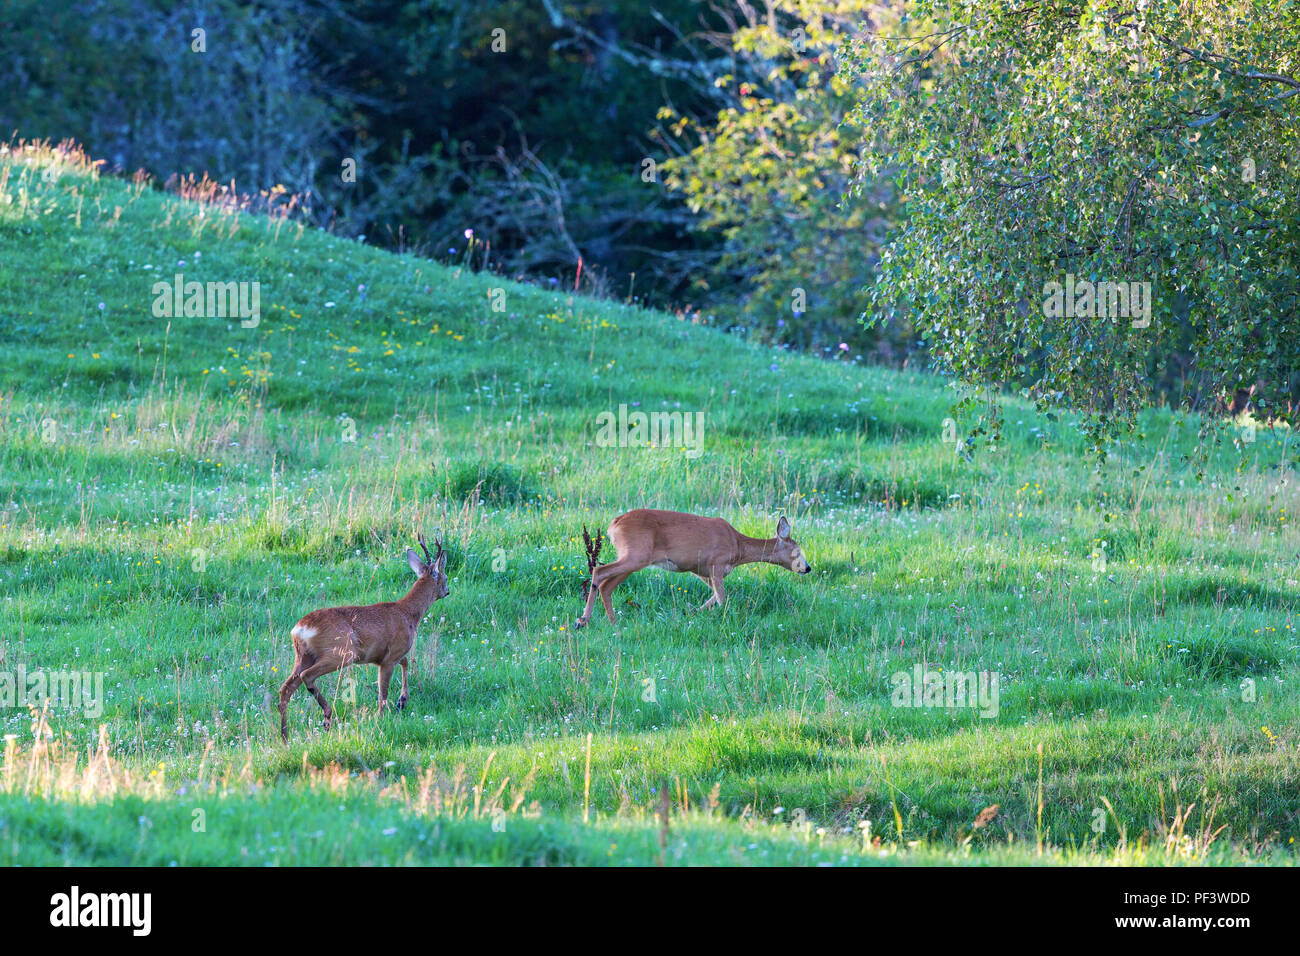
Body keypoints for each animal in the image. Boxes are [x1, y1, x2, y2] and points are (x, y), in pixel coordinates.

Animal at [278, 532, 449, 741]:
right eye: (445, 576)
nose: (447, 590)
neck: (408, 613)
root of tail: (300, 628)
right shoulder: (390, 656)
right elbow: (383, 693)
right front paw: (382, 717)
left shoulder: (386, 655)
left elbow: (406, 661)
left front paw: (402, 701)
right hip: (341, 652)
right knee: (306, 676)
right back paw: (327, 716)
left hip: (303, 655)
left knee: (285, 689)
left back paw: (285, 737)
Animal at [575, 510, 811, 628]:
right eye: (797, 550)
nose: (807, 568)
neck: (737, 546)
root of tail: (613, 525)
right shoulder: (716, 564)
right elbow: (723, 599)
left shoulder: (700, 570)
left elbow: (713, 598)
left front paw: (689, 613)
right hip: (635, 555)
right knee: (598, 572)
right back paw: (583, 620)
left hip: (633, 558)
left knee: (606, 585)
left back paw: (613, 624)